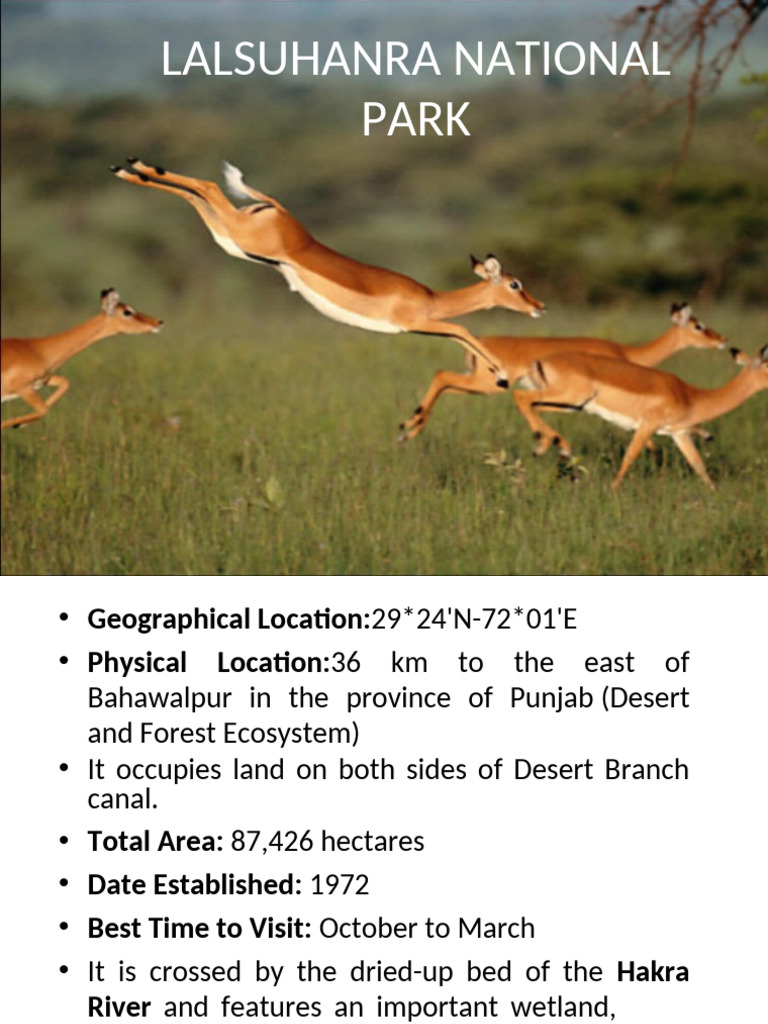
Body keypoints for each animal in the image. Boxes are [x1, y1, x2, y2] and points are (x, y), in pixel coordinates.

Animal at [1, 289, 163, 430]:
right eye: (127, 311)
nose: (158, 322)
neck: (38, 350)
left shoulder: (41, 382)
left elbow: (64, 383)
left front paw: (20, 424)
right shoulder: (23, 388)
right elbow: (43, 409)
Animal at [111, 159, 545, 382]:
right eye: (515, 283)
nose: (539, 306)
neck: (431, 299)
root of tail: (279, 209)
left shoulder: (425, 327)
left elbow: (461, 336)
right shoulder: (418, 323)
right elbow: (464, 330)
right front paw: (501, 373)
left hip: (230, 239)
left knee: (195, 193)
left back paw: (129, 169)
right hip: (239, 236)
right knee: (206, 184)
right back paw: (129, 167)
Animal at [399, 302, 728, 440]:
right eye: (699, 326)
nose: (723, 340)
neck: (627, 352)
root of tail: (477, 343)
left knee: (444, 381)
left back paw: (412, 428)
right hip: (488, 384)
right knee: (442, 375)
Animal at [513, 345, 768, 490]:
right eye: (767, 366)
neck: (690, 396)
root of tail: (541, 361)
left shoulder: (679, 433)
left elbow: (699, 465)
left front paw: (714, 495)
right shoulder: (647, 426)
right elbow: (630, 457)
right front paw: (613, 489)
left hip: (570, 404)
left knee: (533, 406)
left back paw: (549, 446)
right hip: (568, 398)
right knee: (520, 396)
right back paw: (545, 447)